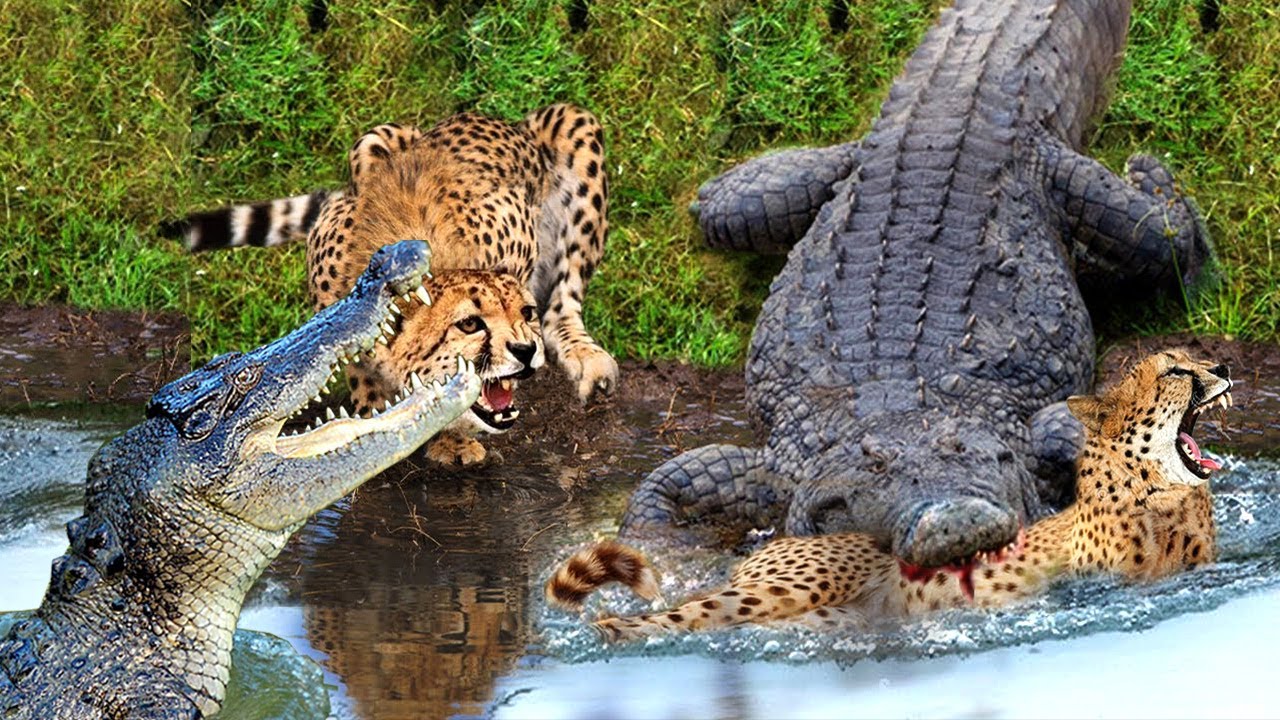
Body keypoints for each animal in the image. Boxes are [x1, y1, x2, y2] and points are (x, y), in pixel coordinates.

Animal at [166, 104, 618, 465]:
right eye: (470, 324)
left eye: (525, 313)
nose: (525, 351)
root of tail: (497, 117)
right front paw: (381, 415)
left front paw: (448, 436)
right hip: (373, 139)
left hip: (573, 123)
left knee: (565, 299)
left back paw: (585, 357)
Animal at [546, 350, 1233, 641]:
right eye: (875, 464)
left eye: (966, 449)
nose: (960, 521)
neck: (897, 398)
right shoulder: (773, 472)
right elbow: (664, 486)